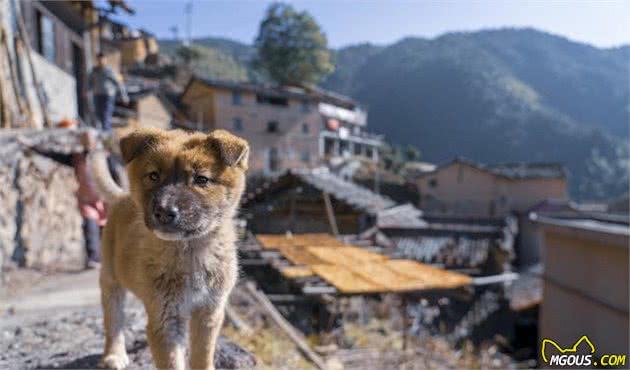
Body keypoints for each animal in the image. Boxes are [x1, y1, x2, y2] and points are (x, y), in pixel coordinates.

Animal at [91, 128, 249, 370]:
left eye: (201, 179)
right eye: (154, 176)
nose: (164, 212)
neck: (191, 252)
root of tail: (123, 196)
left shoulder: (209, 311)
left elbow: (202, 355)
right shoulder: (165, 318)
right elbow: (172, 361)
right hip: (111, 278)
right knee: (113, 319)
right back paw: (114, 354)